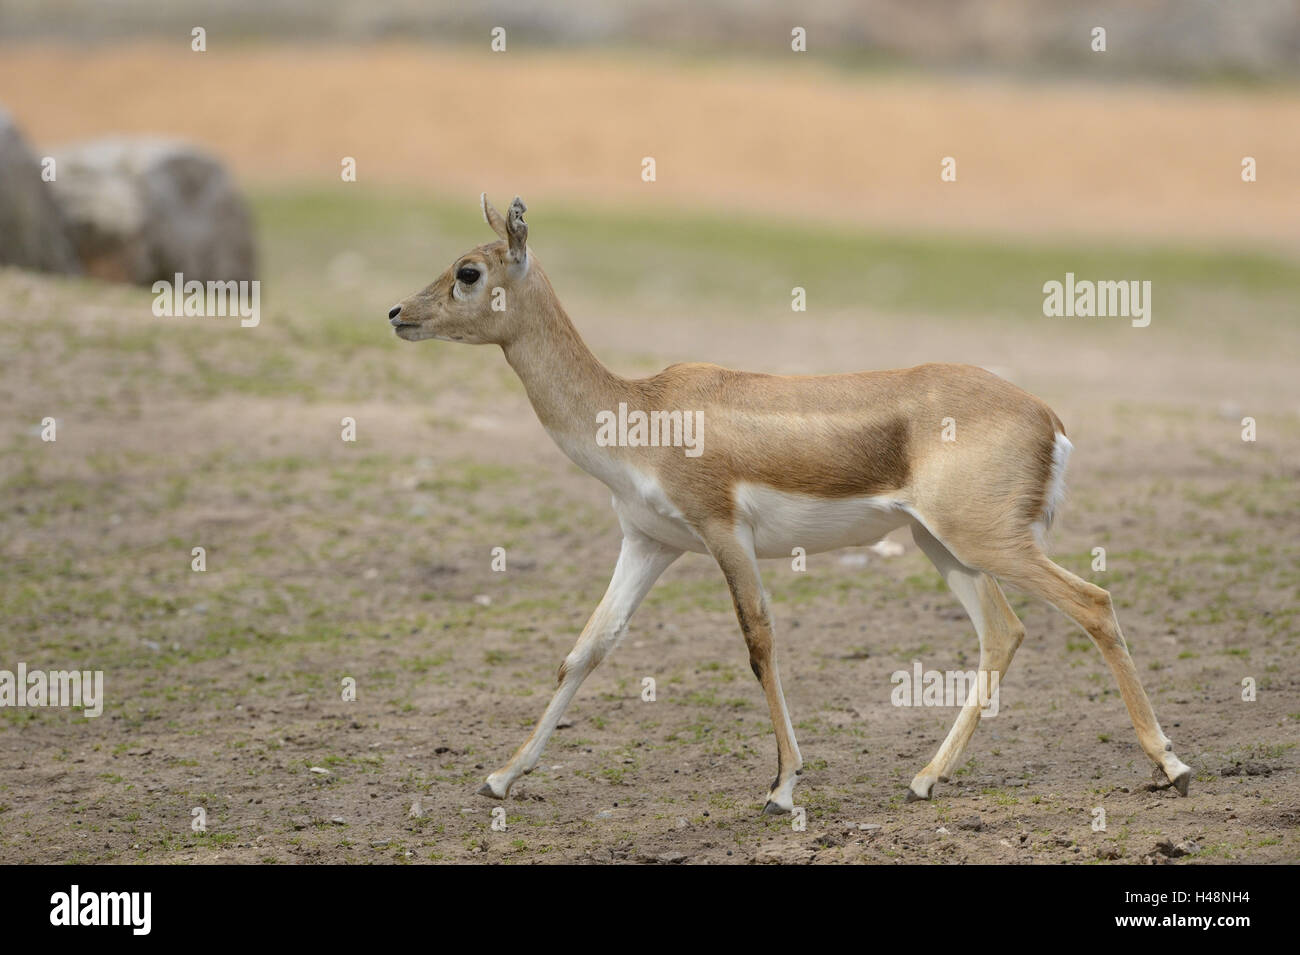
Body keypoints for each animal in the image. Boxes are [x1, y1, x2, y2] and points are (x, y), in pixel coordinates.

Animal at [385, 194, 1192, 814]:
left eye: (469, 271)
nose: (397, 312)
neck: (640, 411)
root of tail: (1048, 416)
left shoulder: (723, 534)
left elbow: (759, 640)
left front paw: (781, 787)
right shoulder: (650, 542)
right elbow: (585, 648)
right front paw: (499, 777)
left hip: (990, 541)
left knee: (1093, 602)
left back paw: (1171, 765)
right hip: (943, 544)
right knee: (1004, 630)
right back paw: (925, 779)